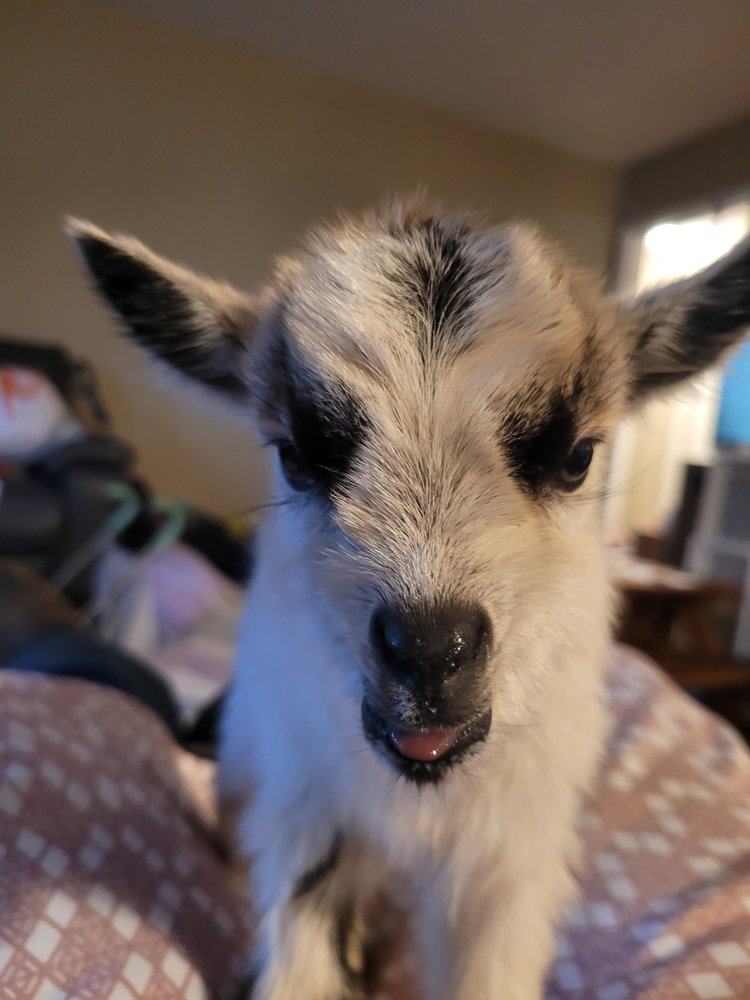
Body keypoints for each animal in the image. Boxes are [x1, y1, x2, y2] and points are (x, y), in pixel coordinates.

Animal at [70, 200, 750, 999]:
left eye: (579, 458)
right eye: (293, 456)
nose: (430, 653)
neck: (423, 797)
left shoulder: (511, 854)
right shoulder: (307, 806)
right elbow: (300, 956)